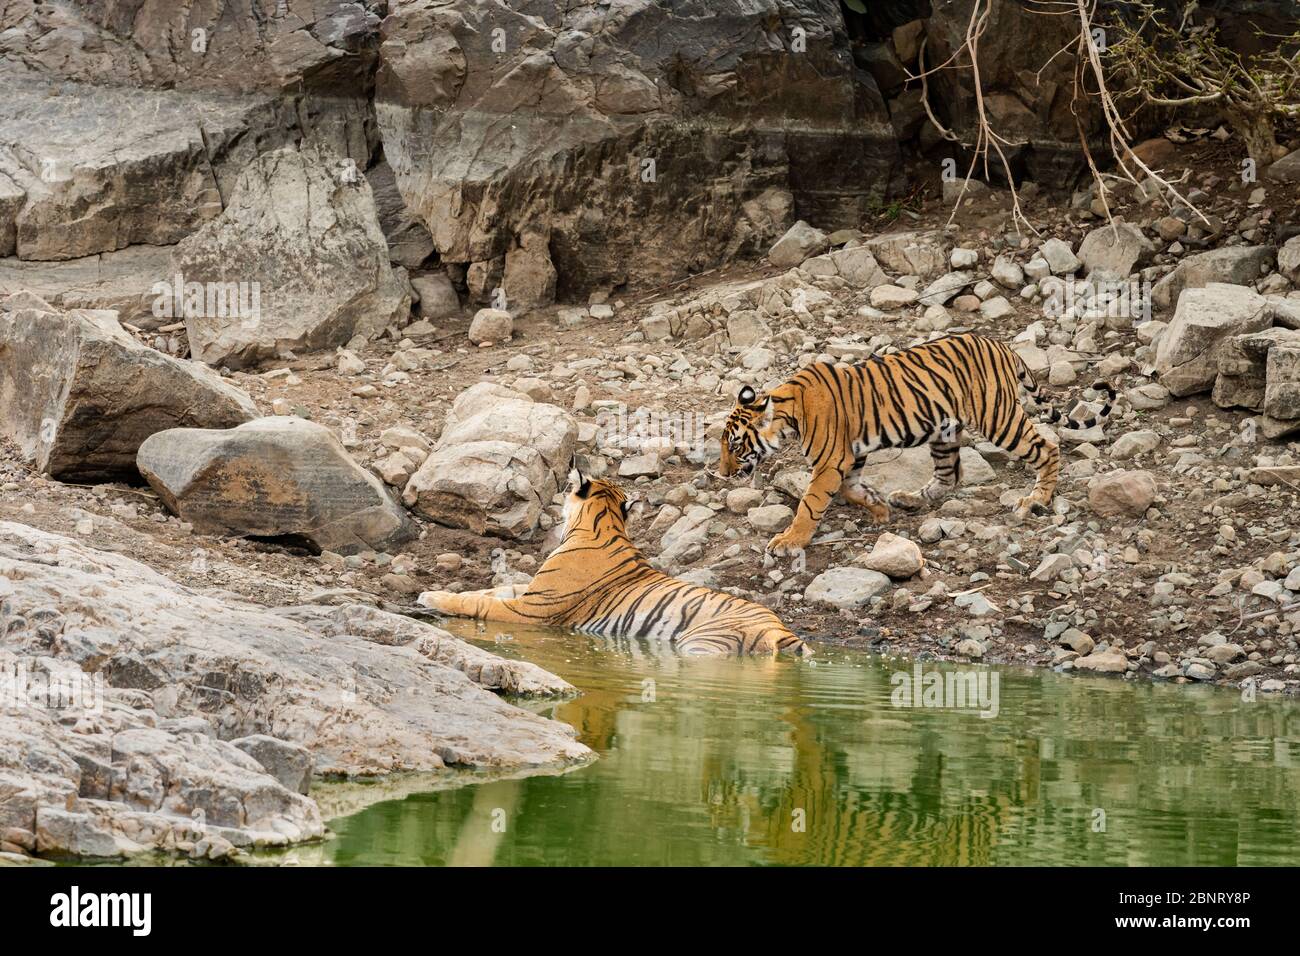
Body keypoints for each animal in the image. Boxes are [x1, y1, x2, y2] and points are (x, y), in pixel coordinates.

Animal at [419, 471, 811, 657]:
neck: (603, 523)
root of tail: (783, 629)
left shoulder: (531, 611)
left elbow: (481, 604)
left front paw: (432, 597)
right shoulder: (531, 592)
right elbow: (492, 589)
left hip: (701, 643)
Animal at [717, 331, 1114, 555]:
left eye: (735, 446)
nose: (722, 473)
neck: (788, 412)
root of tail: (1003, 346)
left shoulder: (831, 461)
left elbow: (810, 504)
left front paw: (790, 541)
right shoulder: (850, 457)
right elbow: (850, 489)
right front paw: (879, 508)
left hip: (998, 417)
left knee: (1046, 448)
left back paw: (1037, 499)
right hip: (944, 431)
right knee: (948, 474)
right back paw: (909, 499)